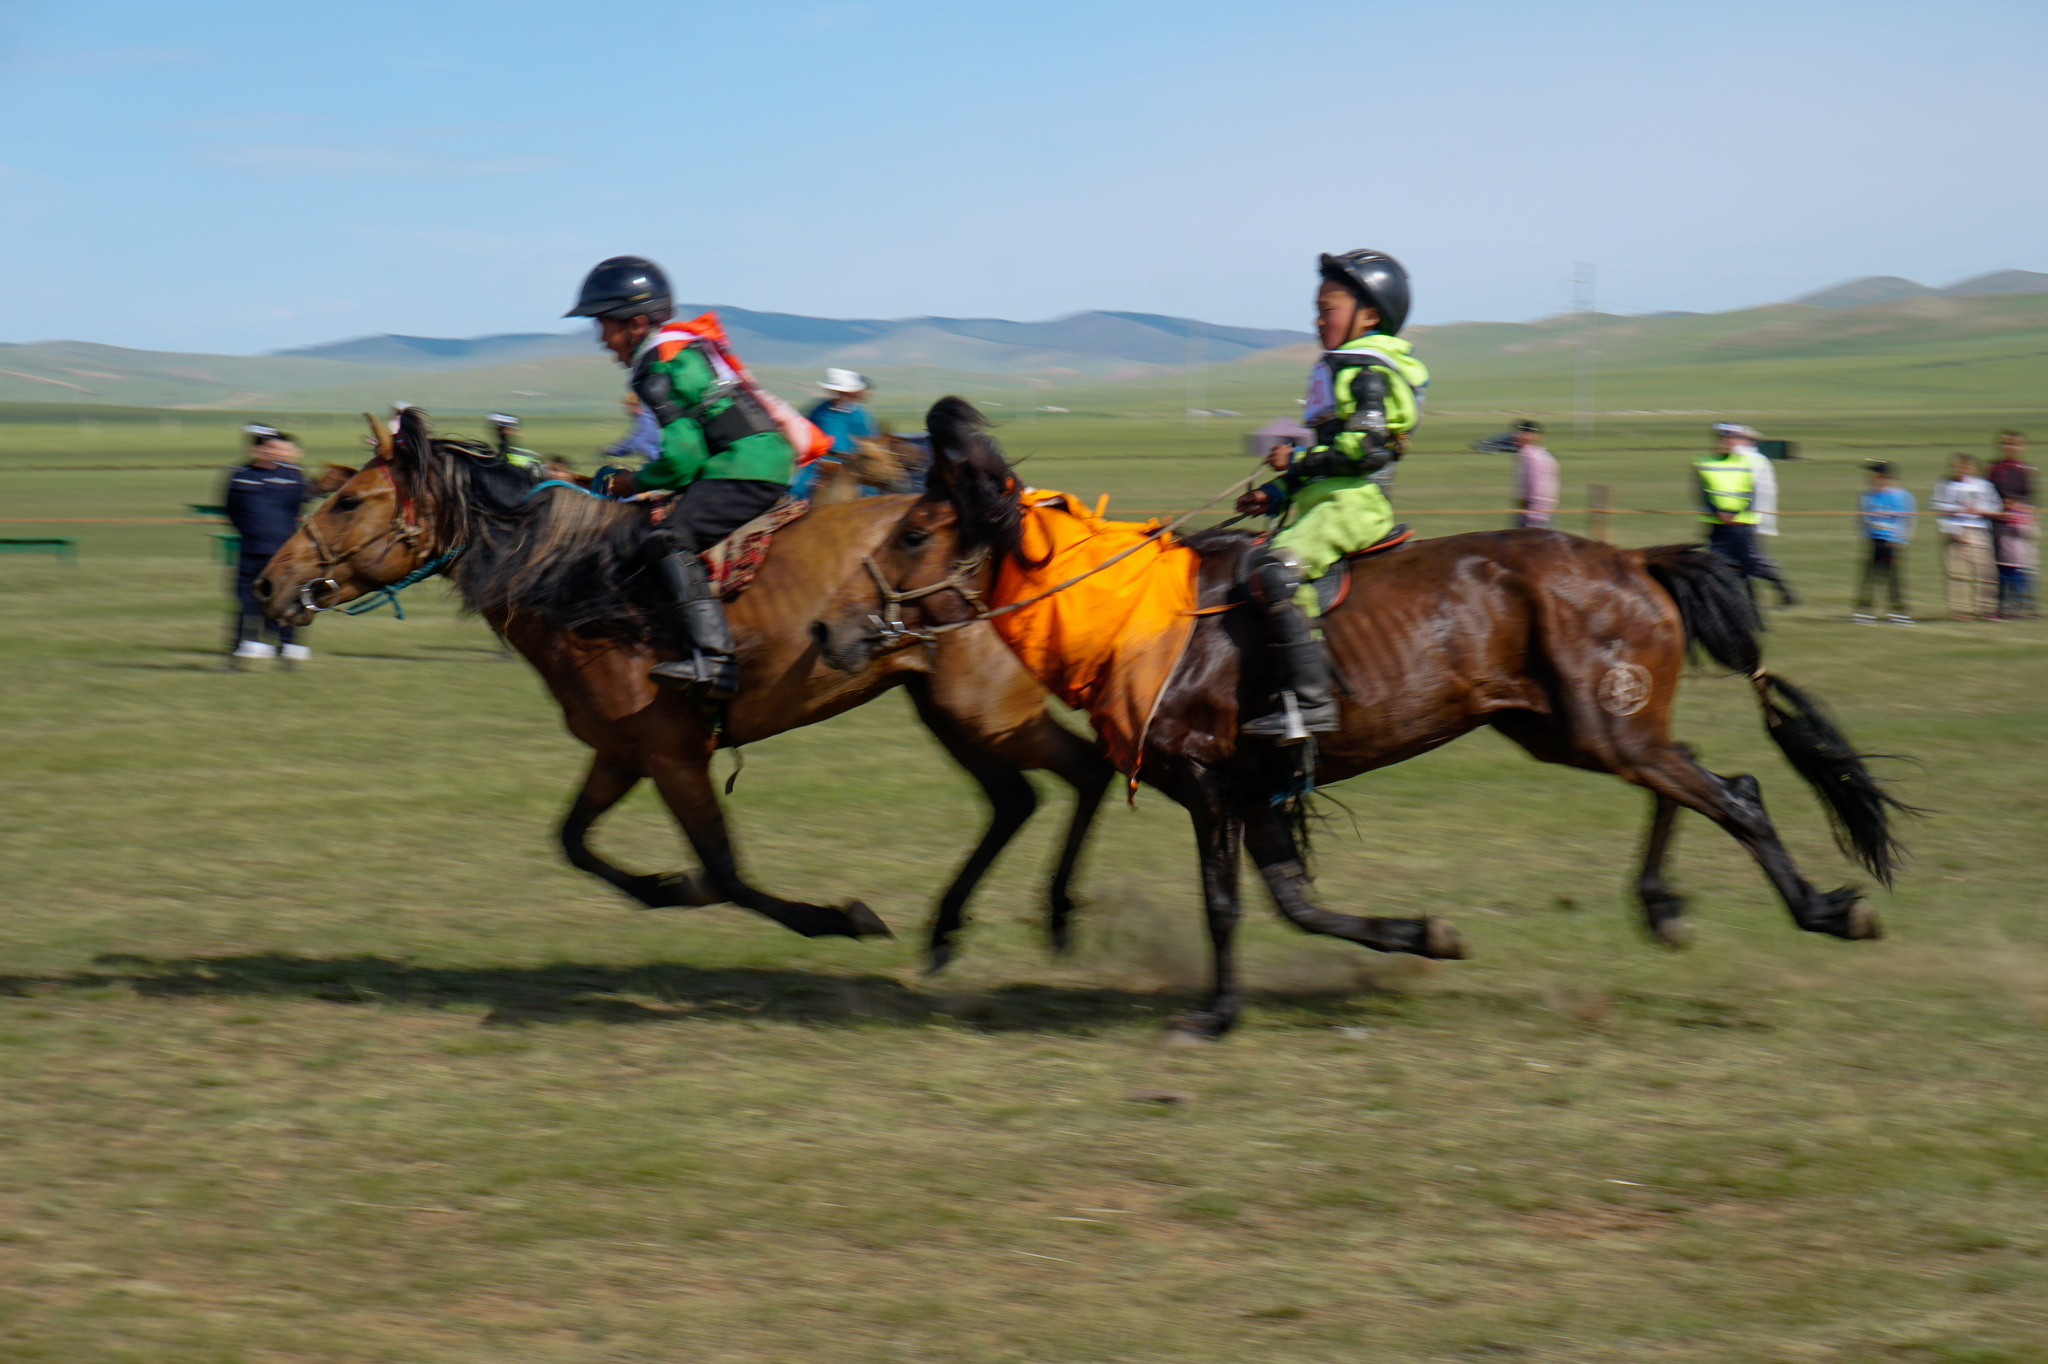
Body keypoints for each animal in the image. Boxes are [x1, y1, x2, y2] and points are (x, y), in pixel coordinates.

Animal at [254, 409, 1112, 946]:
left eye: (349, 501)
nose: (268, 584)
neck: (583, 583)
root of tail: (1007, 523)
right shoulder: (622, 753)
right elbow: (573, 841)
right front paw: (665, 887)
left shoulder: (674, 756)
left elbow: (724, 872)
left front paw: (838, 916)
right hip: (946, 707)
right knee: (1027, 795)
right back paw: (958, 929)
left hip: (980, 709)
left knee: (1082, 771)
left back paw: (1050, 918)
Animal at [817, 398, 1912, 1038]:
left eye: (912, 531)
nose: (829, 628)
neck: (1132, 618)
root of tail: (1633, 560)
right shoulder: (1255, 789)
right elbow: (1296, 900)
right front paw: (1422, 935)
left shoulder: (1212, 785)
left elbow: (1227, 902)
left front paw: (1214, 1014)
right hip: (1572, 731)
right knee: (1697, 781)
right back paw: (1663, 905)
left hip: (1600, 731)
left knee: (1734, 792)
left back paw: (1822, 909)